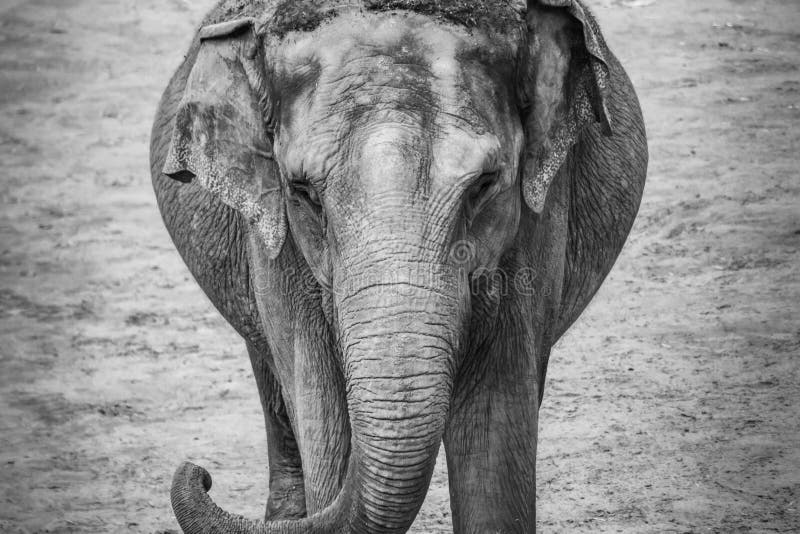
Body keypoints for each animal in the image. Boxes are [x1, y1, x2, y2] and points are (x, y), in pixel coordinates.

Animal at [148, 0, 647, 532]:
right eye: (304, 193)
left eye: (484, 184)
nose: (200, 472)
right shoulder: (273, 243)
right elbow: (323, 416)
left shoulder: (541, 215)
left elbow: (497, 420)